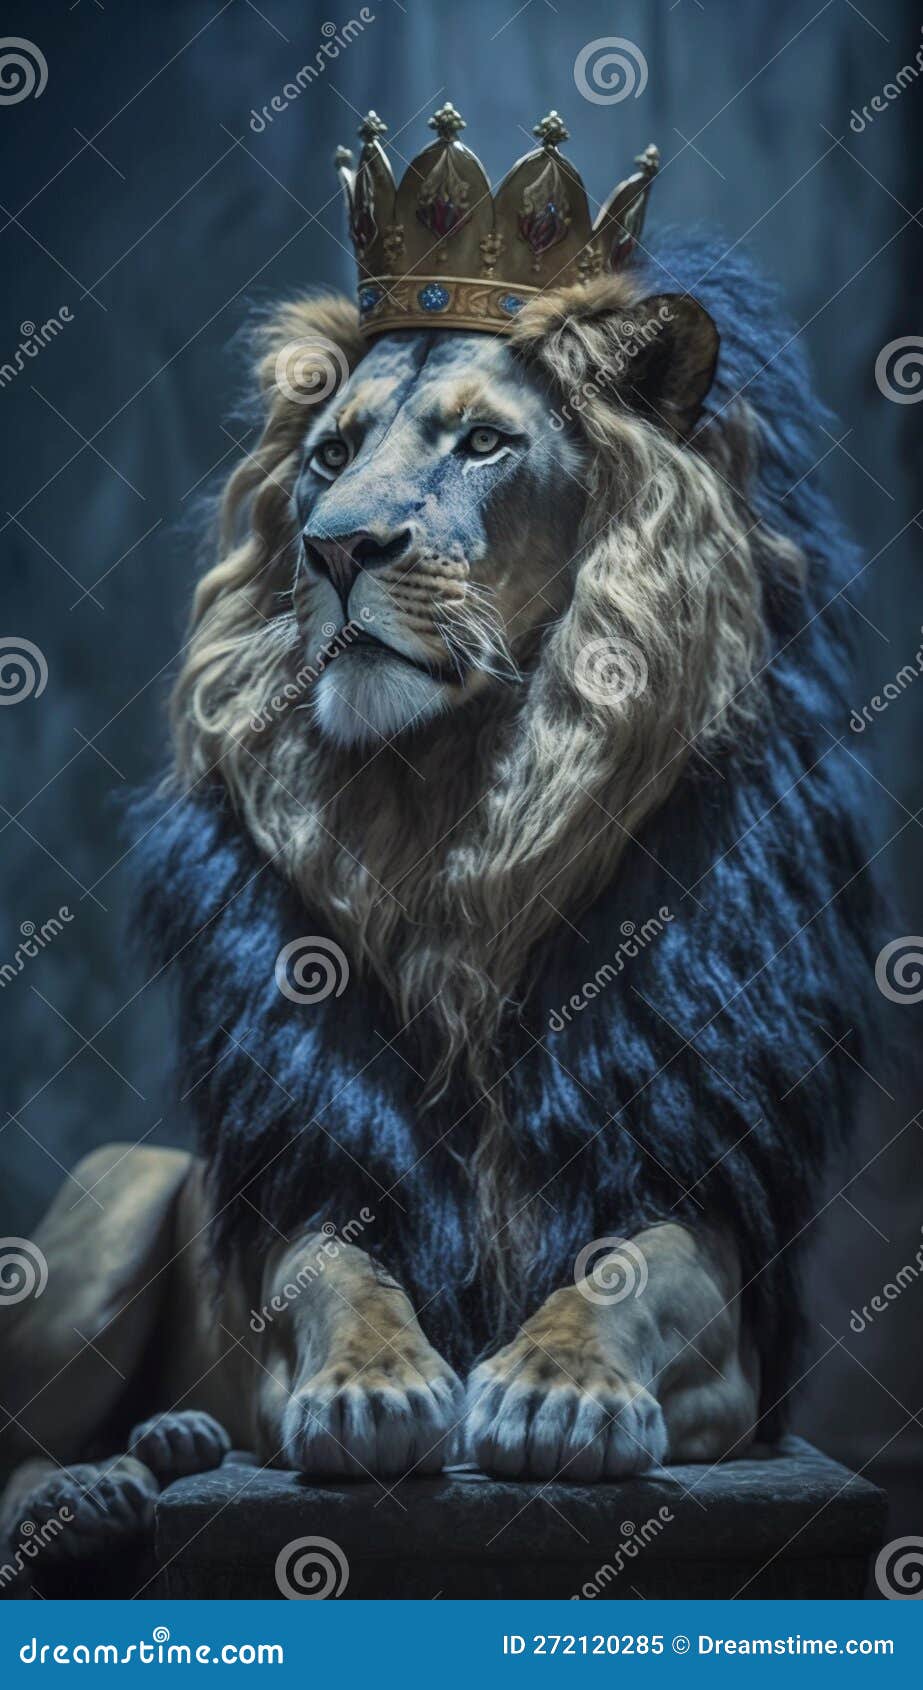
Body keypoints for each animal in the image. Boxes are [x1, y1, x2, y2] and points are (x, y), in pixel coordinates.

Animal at [1, 234, 882, 1565]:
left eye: (482, 444)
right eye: (329, 455)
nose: (334, 548)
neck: (458, 806)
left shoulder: (697, 1200)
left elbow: (639, 1266)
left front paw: (556, 1387)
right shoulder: (315, 1155)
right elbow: (337, 1269)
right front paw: (372, 1385)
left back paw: (164, 1450)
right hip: (109, 1211)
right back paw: (86, 1496)